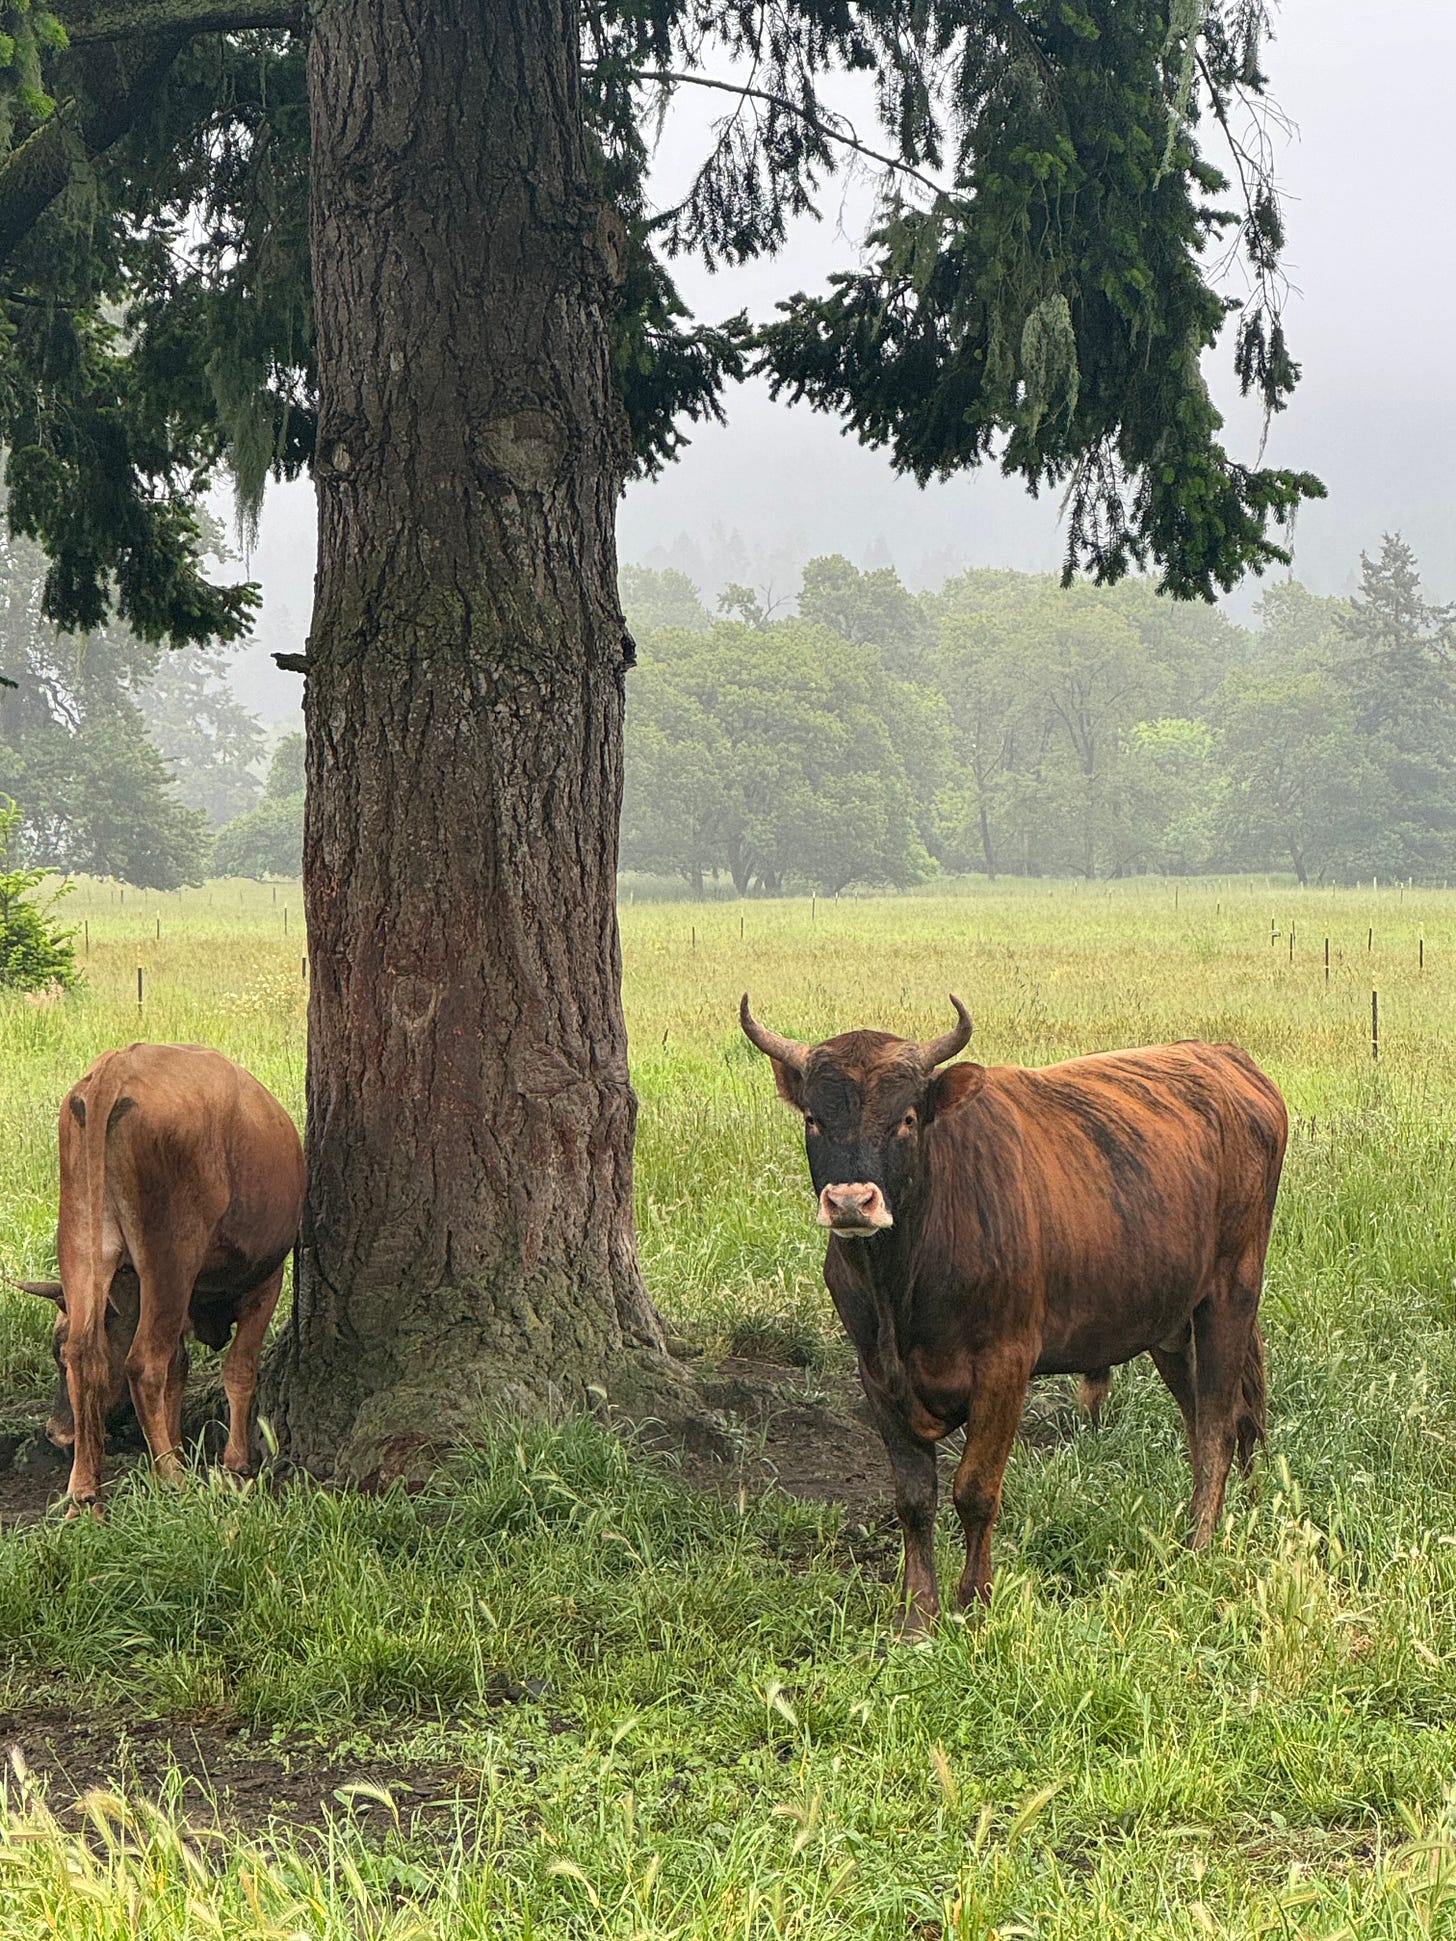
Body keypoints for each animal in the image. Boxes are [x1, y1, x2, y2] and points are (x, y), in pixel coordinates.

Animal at [15, 1043, 305, 1511]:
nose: (57, 1435)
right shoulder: (266, 1282)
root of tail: (118, 1066)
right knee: (144, 1363)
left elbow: (181, 1369)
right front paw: (233, 1462)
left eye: (53, 1352)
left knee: (86, 1353)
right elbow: (238, 1369)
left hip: (81, 1244)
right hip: (171, 1262)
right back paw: (171, 1478)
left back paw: (84, 1491)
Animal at [740, 993, 1287, 1633]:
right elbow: (914, 1499)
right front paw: (918, 1614)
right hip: (1172, 1322)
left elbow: (974, 1490)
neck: (902, 1285)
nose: (852, 1201)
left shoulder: (1005, 1365)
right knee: (1210, 1419)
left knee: (1221, 1424)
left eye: (906, 1118)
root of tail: (1223, 1057)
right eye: (814, 1120)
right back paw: (1231, 1517)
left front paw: (975, 1603)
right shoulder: (875, 1371)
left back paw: (1199, 1546)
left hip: (1230, 1293)